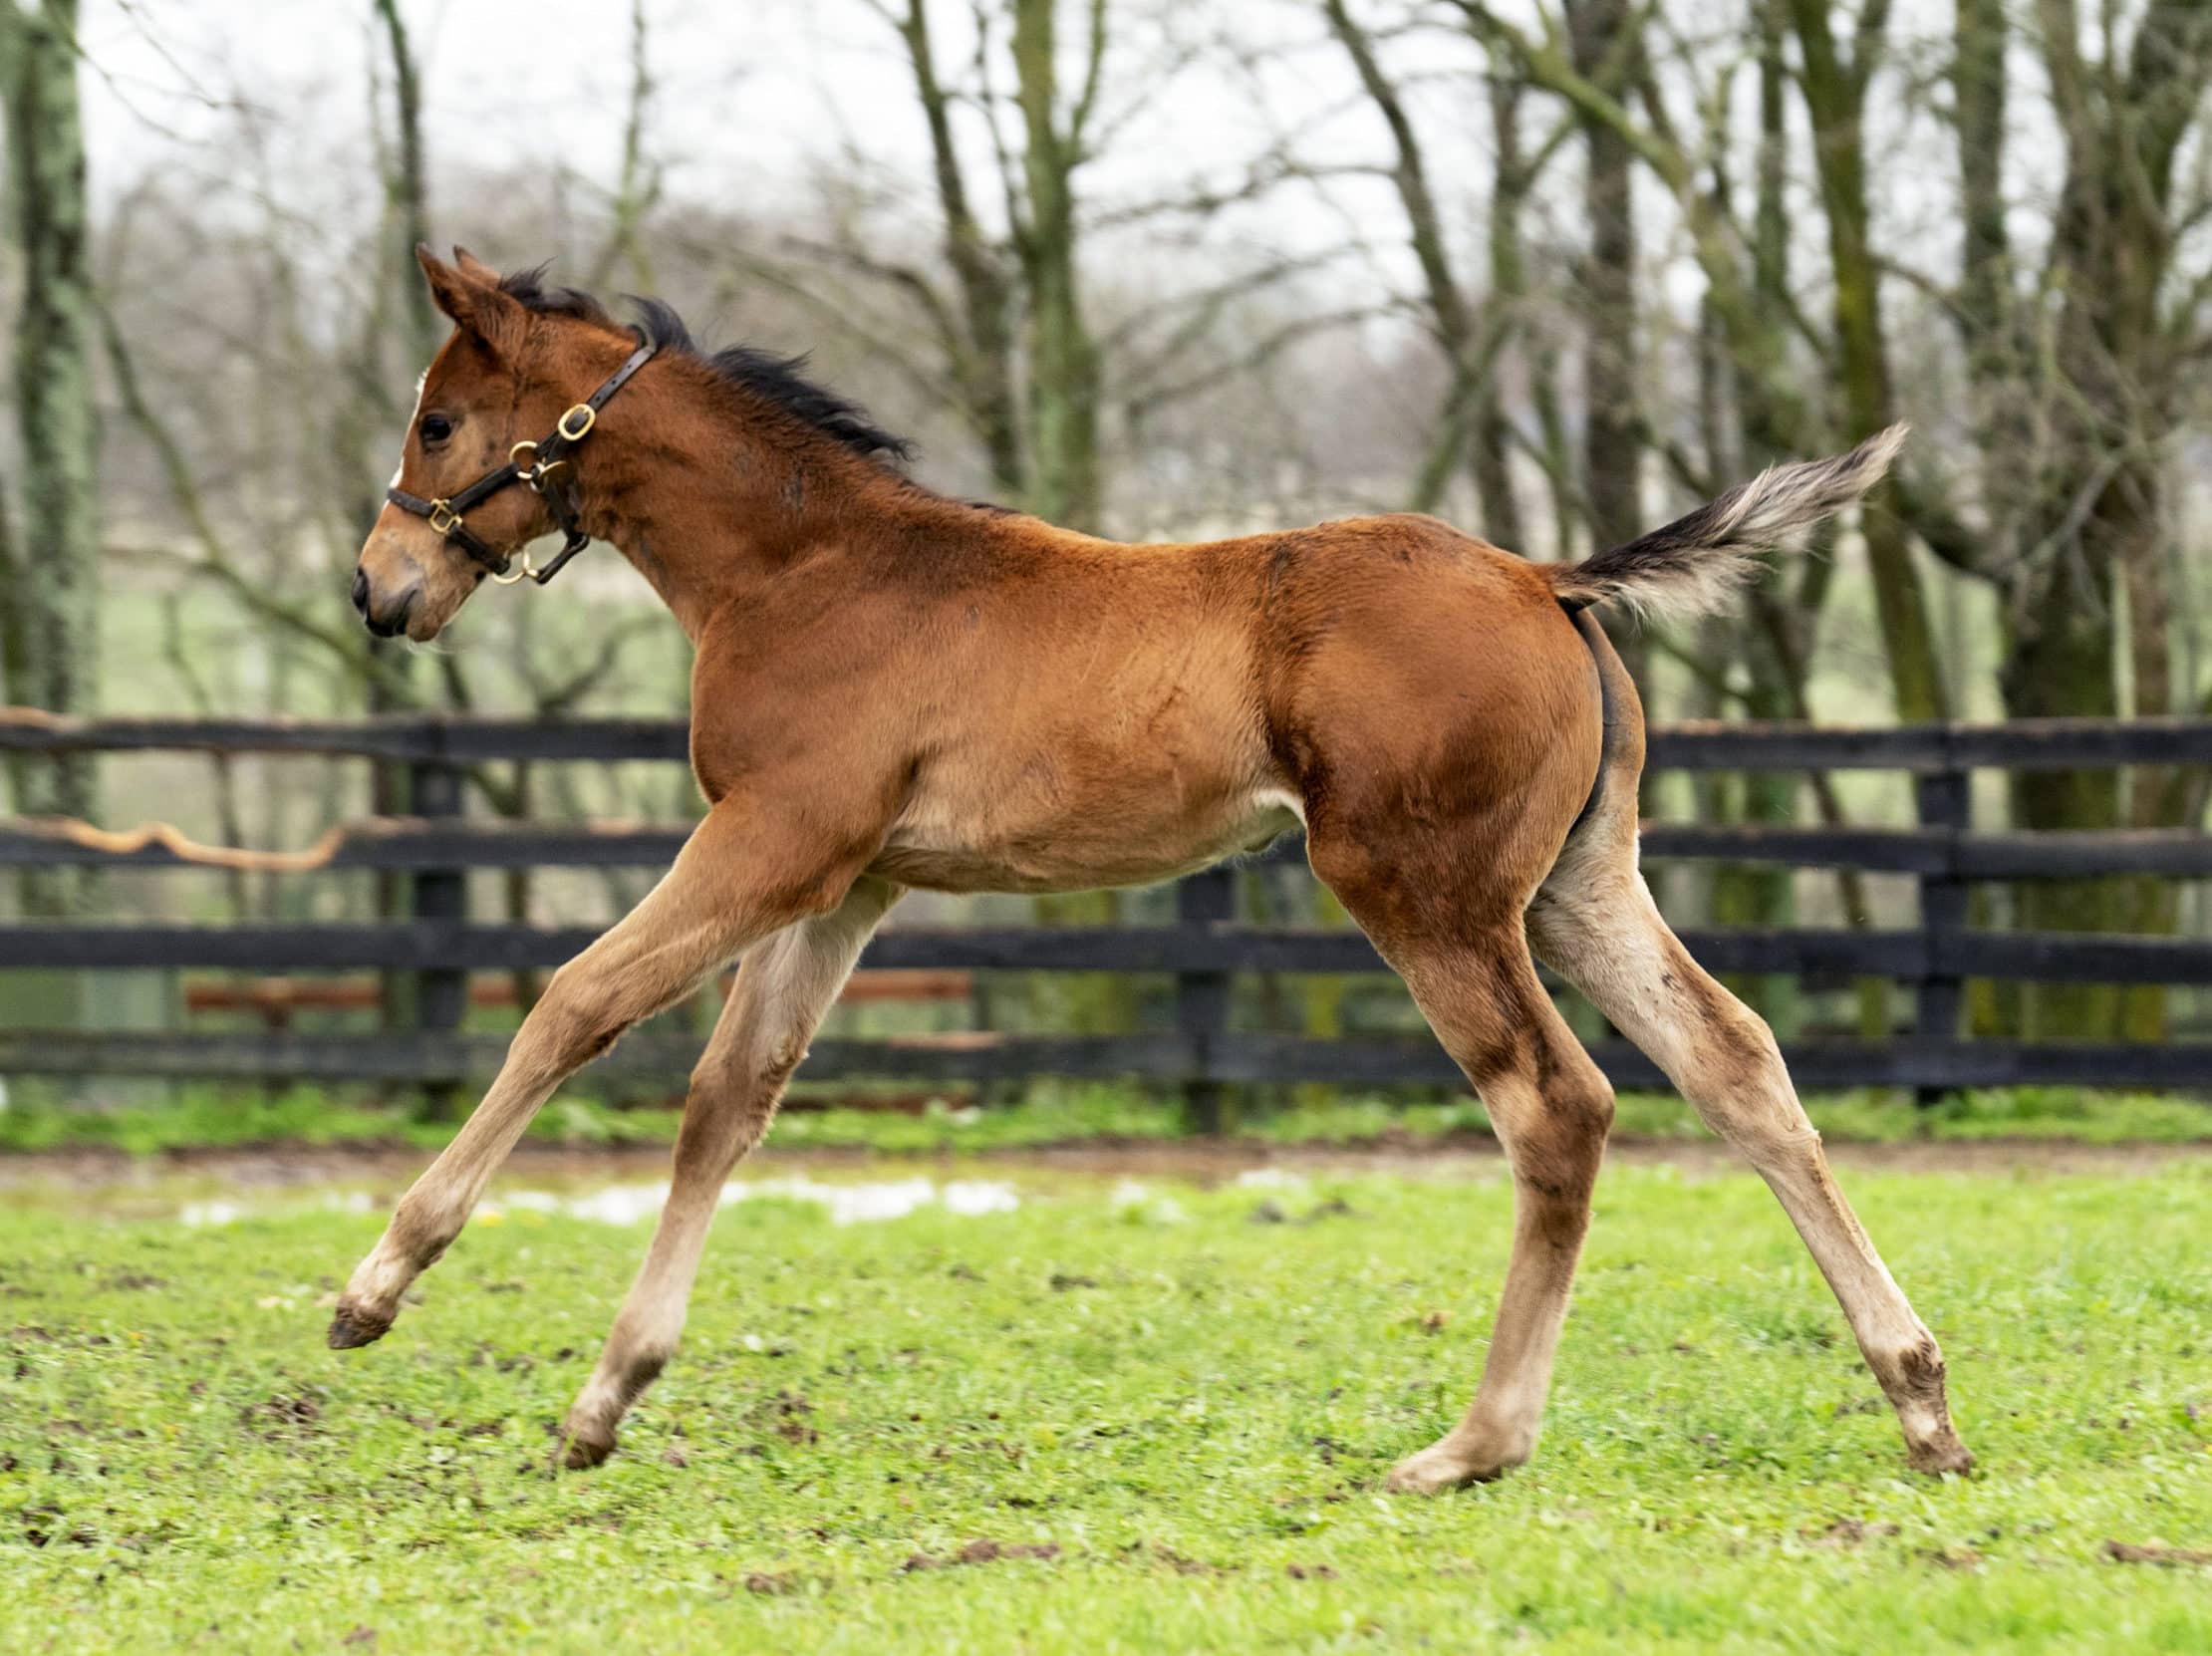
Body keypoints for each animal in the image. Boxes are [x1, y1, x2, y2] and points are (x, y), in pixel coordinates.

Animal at [338, 245, 1971, 1489]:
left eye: (438, 424)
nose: (376, 589)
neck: (805, 571)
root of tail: (1542, 576)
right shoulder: (850, 882)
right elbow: (727, 1102)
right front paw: (604, 1398)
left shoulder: (771, 838)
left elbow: (576, 1003)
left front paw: (376, 1286)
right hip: (1577, 886)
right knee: (1736, 1063)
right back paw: (1919, 1396)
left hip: (1424, 894)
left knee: (1557, 1107)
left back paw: (1474, 1445)